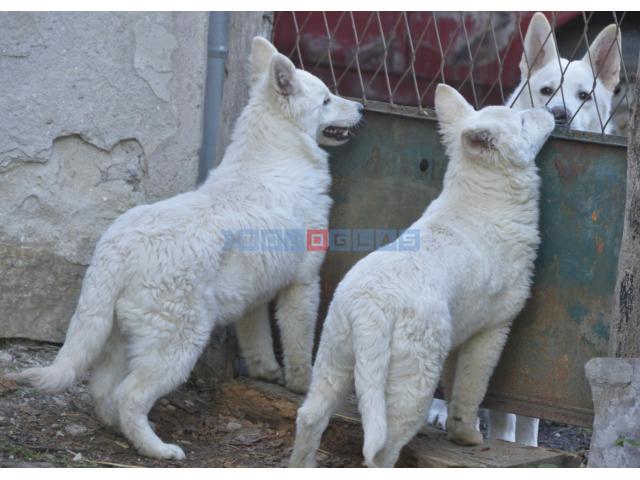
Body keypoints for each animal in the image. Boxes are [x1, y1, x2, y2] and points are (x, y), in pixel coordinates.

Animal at [7, 35, 362, 460]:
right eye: (326, 99)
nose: (361, 108)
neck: (276, 153)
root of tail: (118, 249)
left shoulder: (255, 294)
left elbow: (256, 338)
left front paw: (266, 371)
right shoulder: (303, 283)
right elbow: (298, 343)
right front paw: (299, 382)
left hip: (119, 335)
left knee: (103, 389)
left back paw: (120, 430)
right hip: (180, 342)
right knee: (129, 395)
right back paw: (157, 450)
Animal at [290, 84, 556, 466]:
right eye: (521, 120)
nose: (553, 113)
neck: (484, 197)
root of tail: (368, 310)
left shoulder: (462, 327)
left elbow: (456, 384)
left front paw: (459, 434)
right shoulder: (493, 328)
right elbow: (471, 390)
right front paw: (469, 437)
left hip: (335, 354)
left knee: (310, 416)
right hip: (412, 378)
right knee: (381, 449)